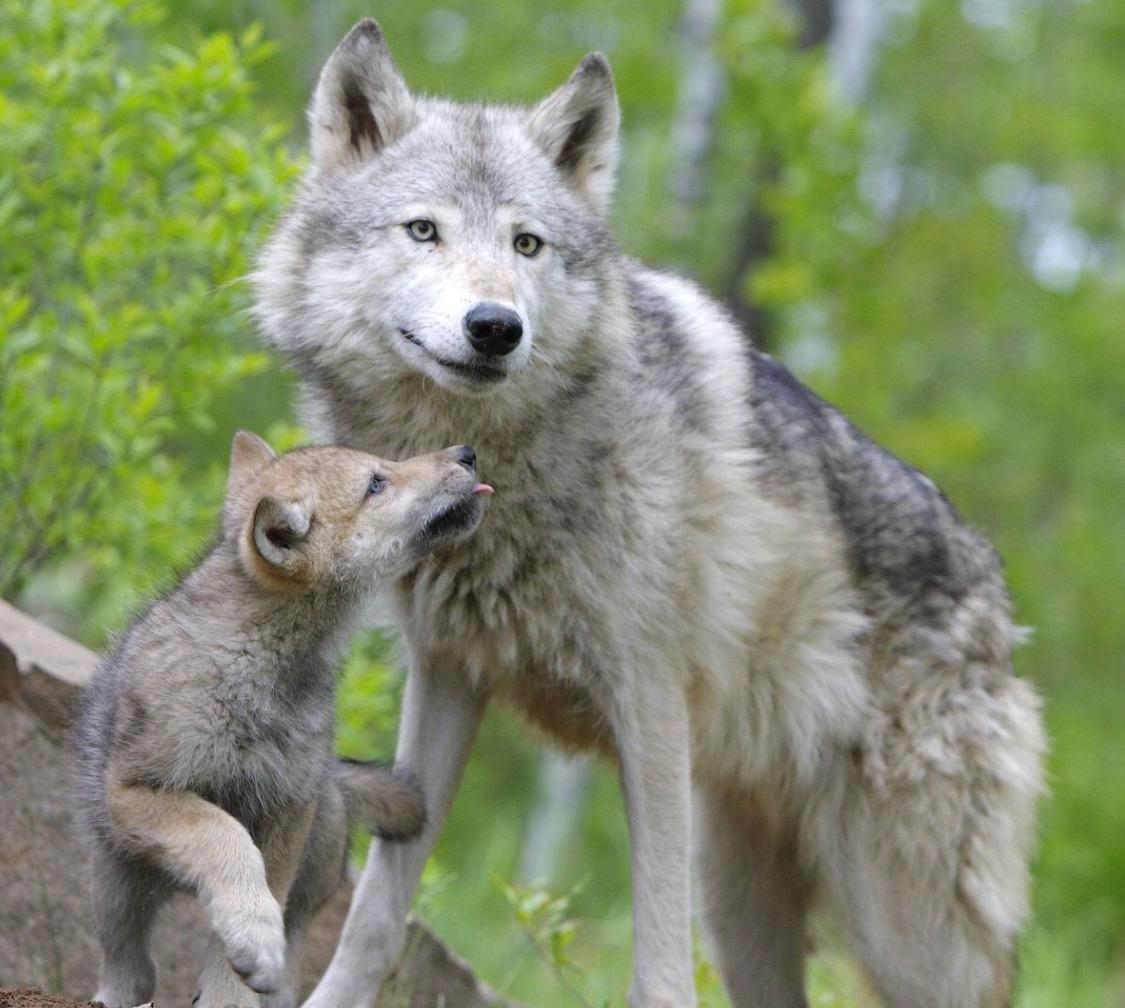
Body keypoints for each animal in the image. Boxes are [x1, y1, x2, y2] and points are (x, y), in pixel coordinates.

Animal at [72, 431, 492, 1008]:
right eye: (376, 483)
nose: (467, 453)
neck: (260, 665)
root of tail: (335, 780)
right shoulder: (138, 791)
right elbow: (223, 835)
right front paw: (252, 939)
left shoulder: (286, 809)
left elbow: (253, 903)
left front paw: (234, 987)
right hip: (116, 884)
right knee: (131, 969)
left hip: (308, 871)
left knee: (287, 963)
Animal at [253, 20, 1046, 1008]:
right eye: (423, 230)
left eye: (527, 244)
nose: (494, 327)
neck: (502, 470)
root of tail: (995, 593)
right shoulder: (446, 677)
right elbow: (373, 921)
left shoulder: (650, 707)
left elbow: (659, 966)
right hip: (743, 900)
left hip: (903, 925)